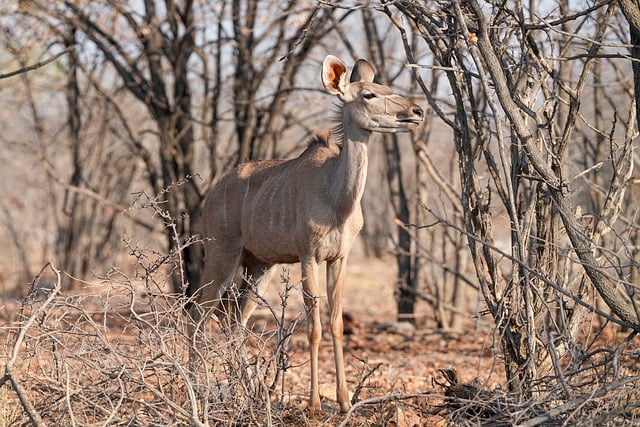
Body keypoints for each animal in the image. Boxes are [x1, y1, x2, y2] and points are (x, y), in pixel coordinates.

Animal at [188, 55, 423, 412]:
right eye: (369, 94)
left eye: (386, 88)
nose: (416, 112)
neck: (337, 197)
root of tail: (211, 196)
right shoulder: (309, 256)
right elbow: (313, 327)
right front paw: (314, 402)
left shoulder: (339, 259)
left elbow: (336, 323)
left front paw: (343, 401)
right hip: (221, 255)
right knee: (198, 314)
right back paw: (192, 387)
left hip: (260, 267)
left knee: (235, 320)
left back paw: (247, 390)